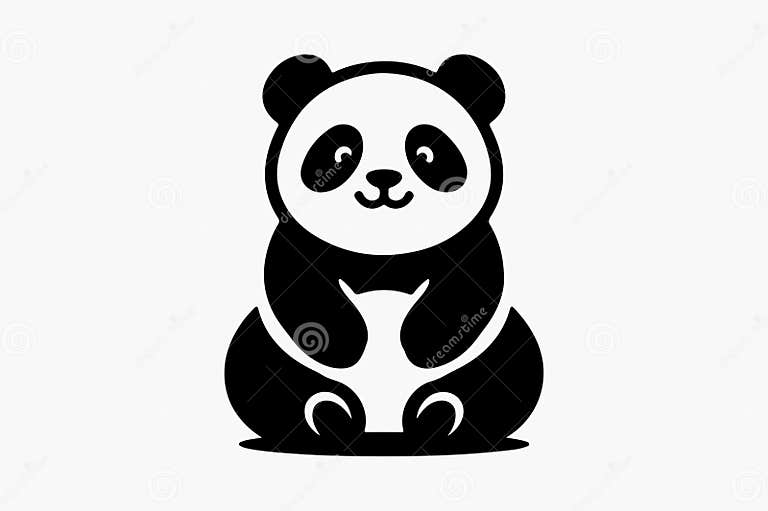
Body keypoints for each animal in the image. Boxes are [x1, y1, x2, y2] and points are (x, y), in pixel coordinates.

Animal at [224, 54, 543, 455]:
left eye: (426, 153)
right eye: (341, 152)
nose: (384, 178)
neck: (384, 254)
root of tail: (384, 432)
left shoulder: (469, 243)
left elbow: (469, 288)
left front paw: (424, 346)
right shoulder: (297, 242)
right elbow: (299, 288)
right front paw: (339, 343)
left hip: (498, 353)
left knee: (496, 382)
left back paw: (440, 423)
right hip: (269, 352)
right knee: (271, 381)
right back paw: (327, 423)